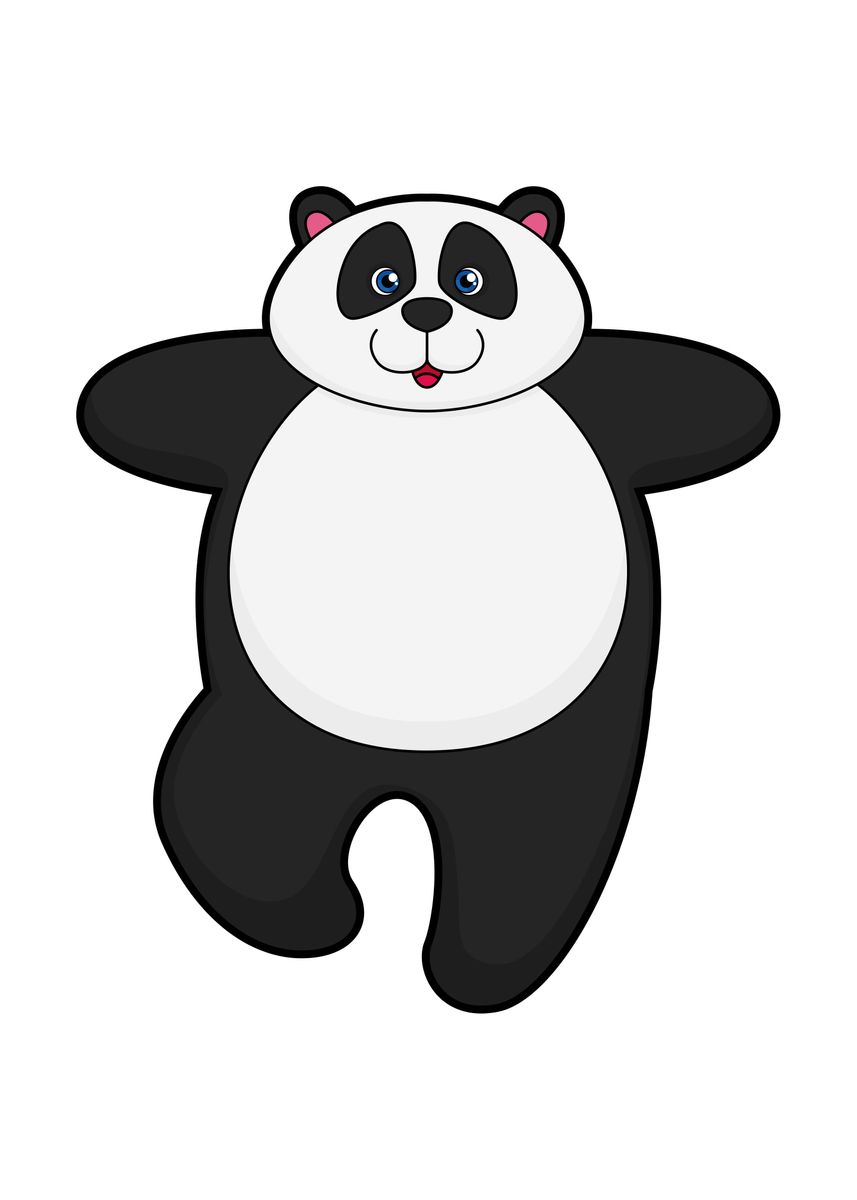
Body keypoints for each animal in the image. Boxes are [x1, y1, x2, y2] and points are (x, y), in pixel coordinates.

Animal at [79, 187, 778, 1012]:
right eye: (379, 277)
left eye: (473, 277)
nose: (425, 311)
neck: (427, 418)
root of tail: (406, 773)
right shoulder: (247, 399)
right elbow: (144, 391)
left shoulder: (611, 402)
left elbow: (711, 391)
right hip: (274, 729)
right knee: (233, 810)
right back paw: (316, 919)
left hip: (542, 753)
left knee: (526, 852)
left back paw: (475, 969)